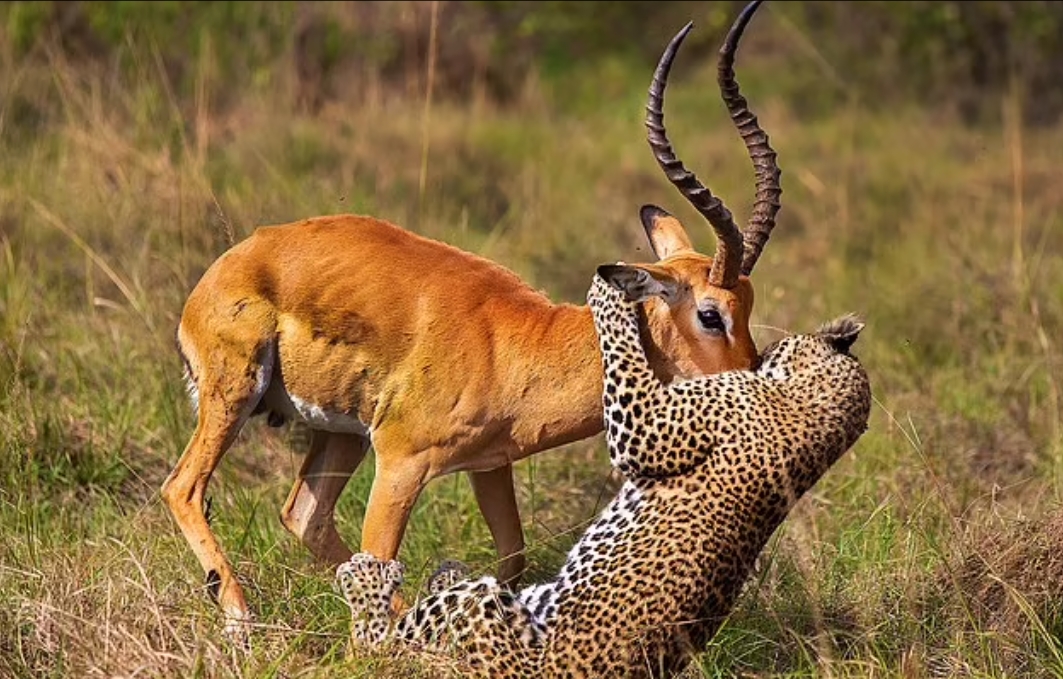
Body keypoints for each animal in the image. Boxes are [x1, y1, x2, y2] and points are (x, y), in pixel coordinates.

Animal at [162, 0, 782, 638]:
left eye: (750, 305)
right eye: (711, 315)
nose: (756, 393)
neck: (523, 342)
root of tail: (228, 265)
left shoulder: (491, 466)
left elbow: (511, 557)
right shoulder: (401, 463)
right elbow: (380, 564)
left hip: (341, 433)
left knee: (305, 515)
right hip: (237, 393)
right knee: (184, 488)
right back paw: (240, 619)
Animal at [336, 268, 873, 678]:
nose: (758, 357)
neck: (823, 420)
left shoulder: (647, 428)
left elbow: (625, 356)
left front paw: (608, 294)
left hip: (479, 617)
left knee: (383, 644)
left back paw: (370, 574)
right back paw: (437, 572)